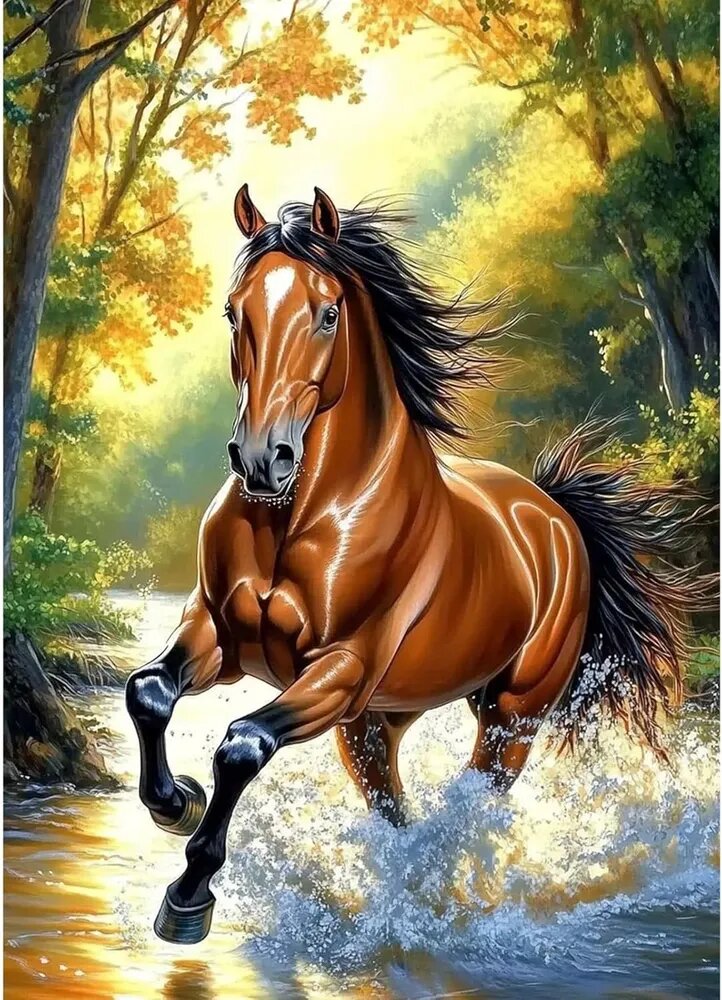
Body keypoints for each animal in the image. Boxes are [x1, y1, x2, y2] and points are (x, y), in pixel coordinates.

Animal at [126, 185, 715, 945]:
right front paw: (177, 803)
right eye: (235, 311)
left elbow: (242, 744)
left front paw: (189, 893)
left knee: (467, 810)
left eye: (327, 313)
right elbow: (147, 691)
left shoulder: (342, 668)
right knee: (398, 814)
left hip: (508, 717)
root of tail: (554, 514)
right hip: (375, 726)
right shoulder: (218, 636)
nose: (263, 459)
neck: (304, 515)